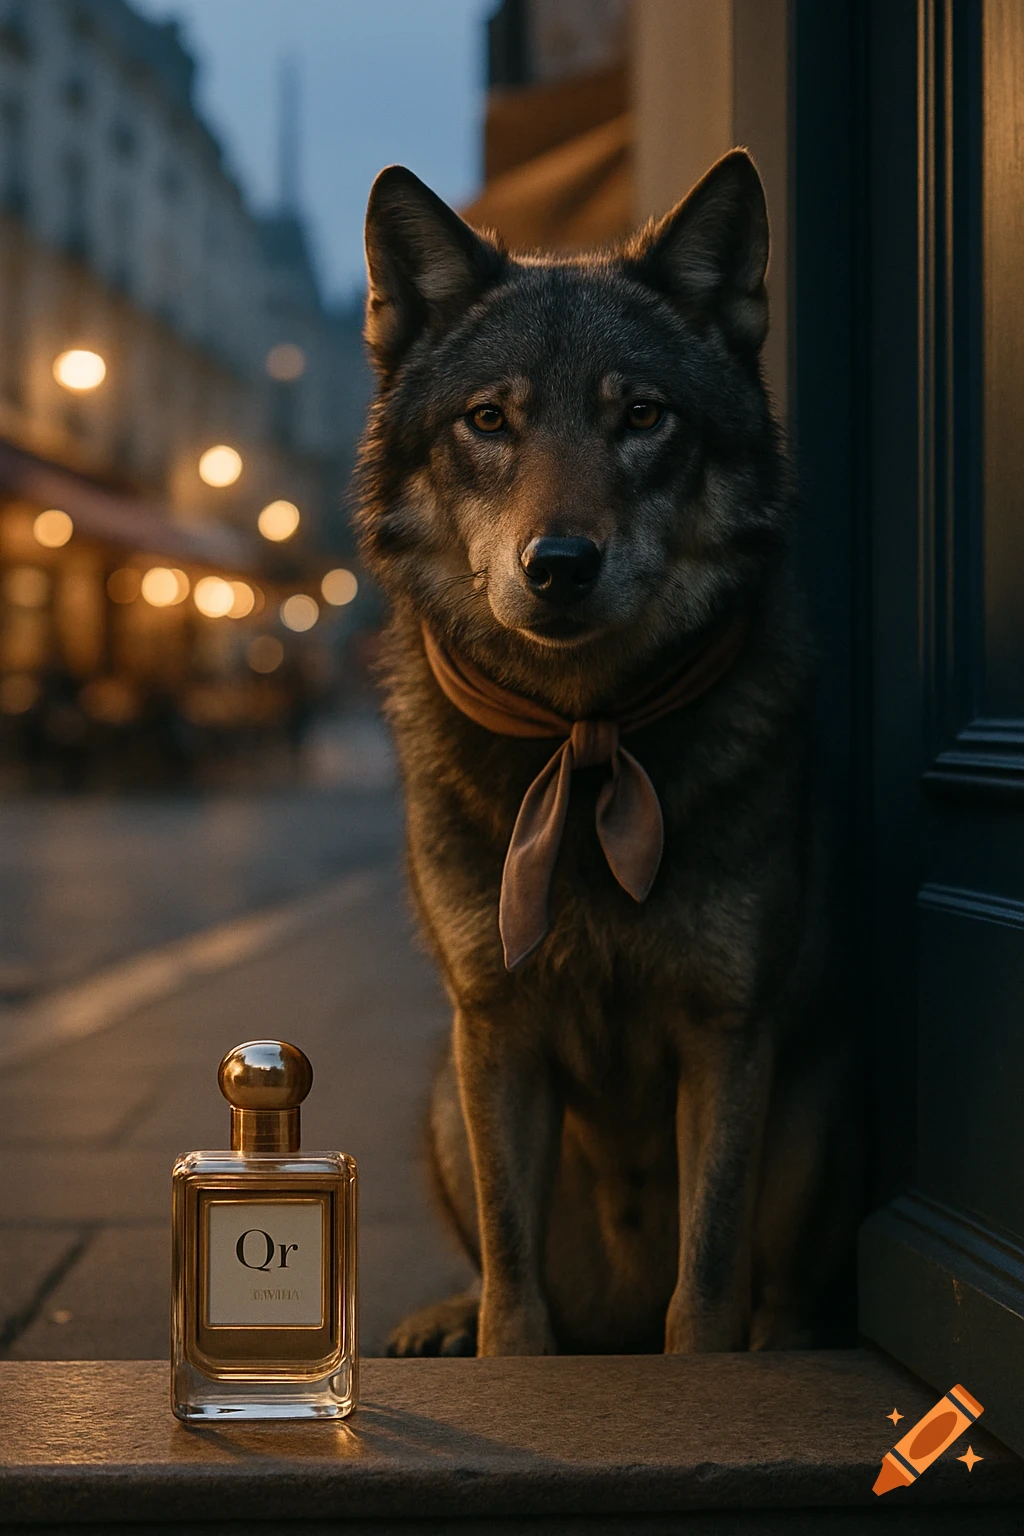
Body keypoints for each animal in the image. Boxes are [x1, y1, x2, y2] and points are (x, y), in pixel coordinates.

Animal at [357, 149, 859, 1357]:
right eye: (489, 420)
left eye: (641, 415)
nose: (559, 564)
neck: (587, 739)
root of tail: (612, 1317)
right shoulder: (496, 1029)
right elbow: (514, 1287)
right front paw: (500, 1353)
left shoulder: (727, 1034)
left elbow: (707, 1287)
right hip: (444, 1097)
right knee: (489, 1270)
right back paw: (440, 1320)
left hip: (815, 1109)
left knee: (778, 1295)